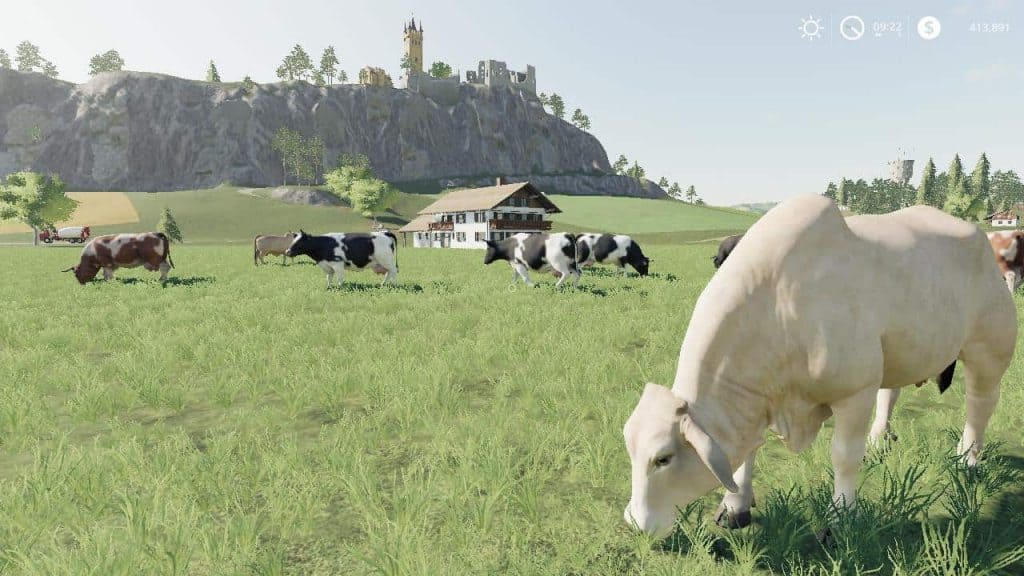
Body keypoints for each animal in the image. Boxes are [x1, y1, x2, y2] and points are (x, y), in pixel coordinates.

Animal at [622, 195, 1015, 542]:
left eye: (663, 458)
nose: (635, 524)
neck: (778, 306)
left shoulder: (855, 392)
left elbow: (844, 457)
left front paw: (840, 518)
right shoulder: (758, 400)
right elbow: (746, 452)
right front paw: (735, 505)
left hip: (989, 348)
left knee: (980, 403)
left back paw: (968, 459)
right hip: (902, 350)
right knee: (892, 391)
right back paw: (879, 437)